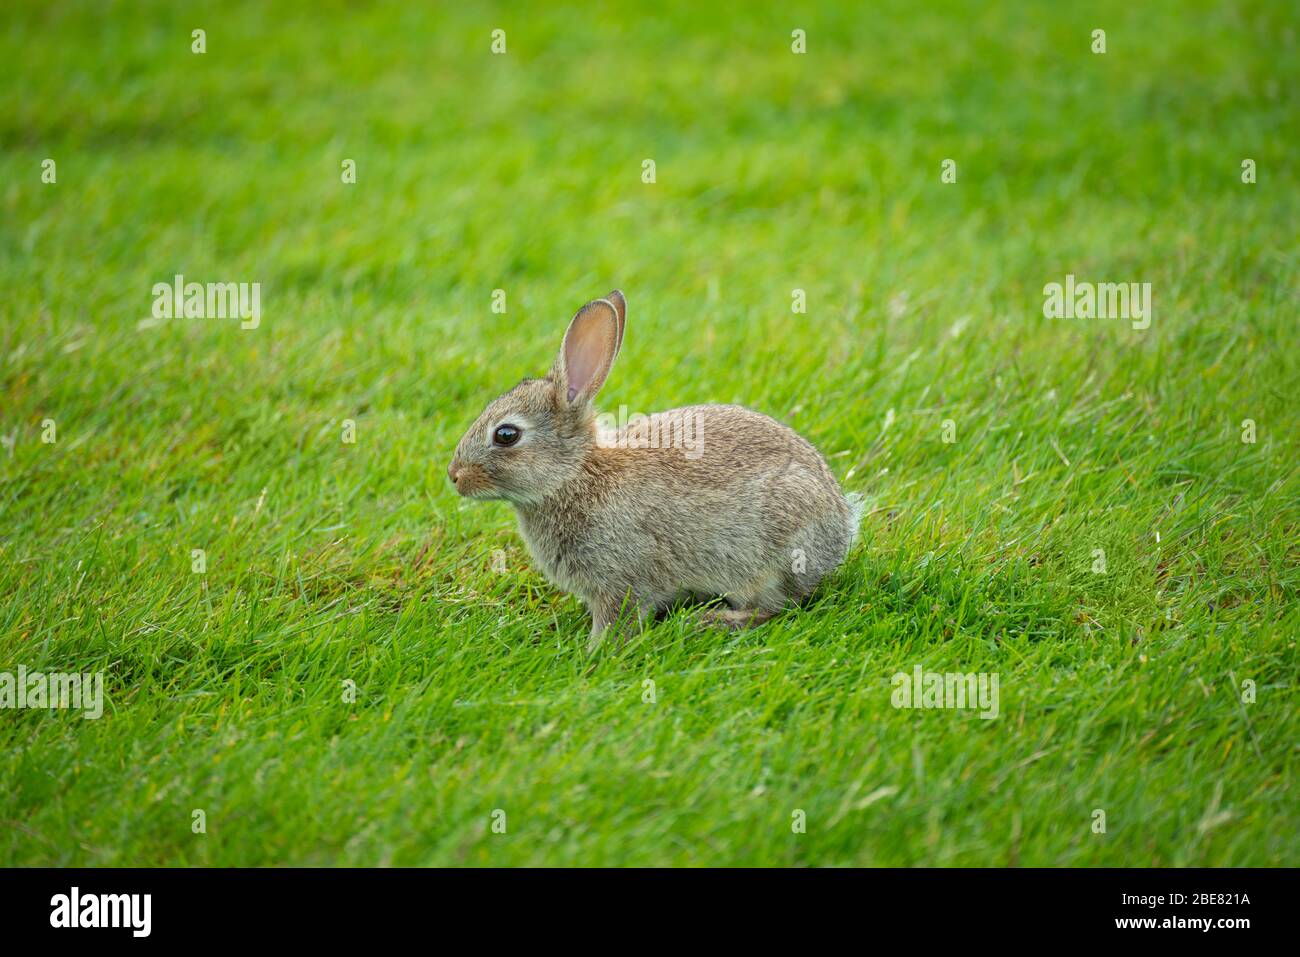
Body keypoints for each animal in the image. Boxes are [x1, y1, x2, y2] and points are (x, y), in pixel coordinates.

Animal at [448, 290, 863, 646]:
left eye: (506, 435)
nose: (454, 476)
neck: (574, 476)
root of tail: (842, 524)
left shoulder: (623, 580)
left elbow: (617, 620)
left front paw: (593, 652)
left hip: (772, 558)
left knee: (778, 608)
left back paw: (711, 621)